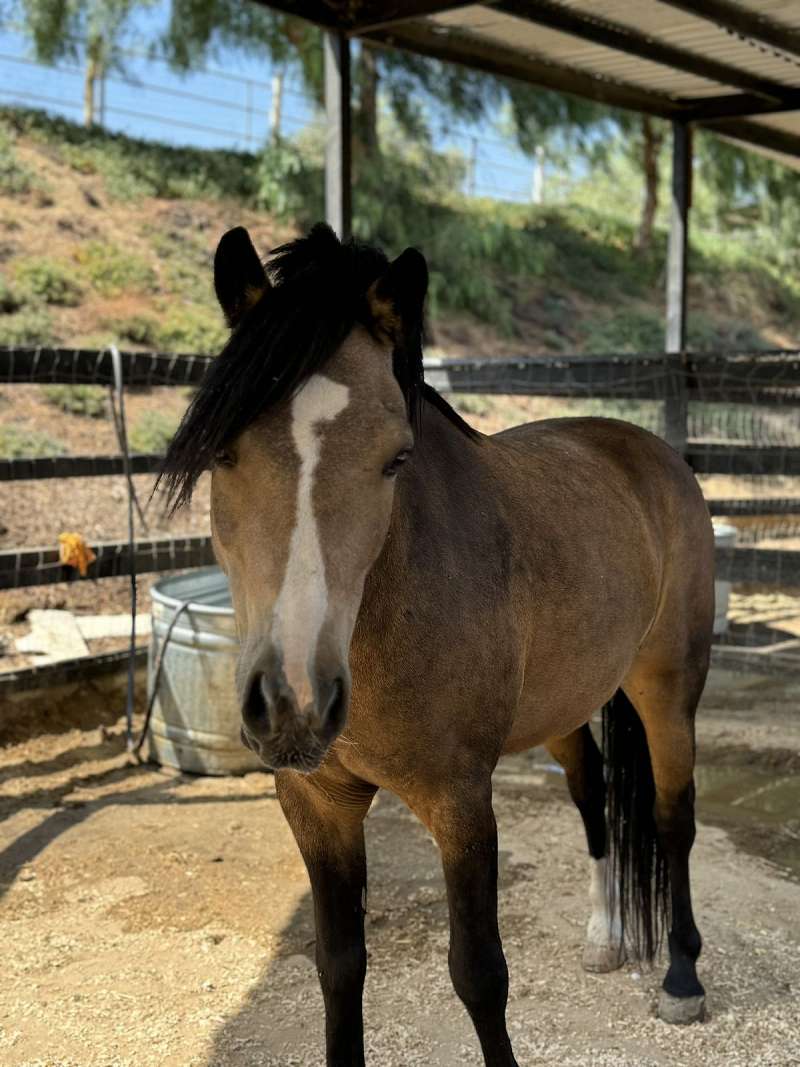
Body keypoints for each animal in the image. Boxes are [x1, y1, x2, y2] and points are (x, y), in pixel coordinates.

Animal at [161, 222, 715, 1066]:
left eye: (396, 456)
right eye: (222, 451)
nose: (293, 701)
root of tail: (649, 452)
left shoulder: (461, 800)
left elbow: (480, 973)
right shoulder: (316, 803)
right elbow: (338, 966)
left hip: (668, 689)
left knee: (672, 817)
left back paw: (682, 976)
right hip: (564, 705)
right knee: (592, 792)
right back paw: (604, 936)